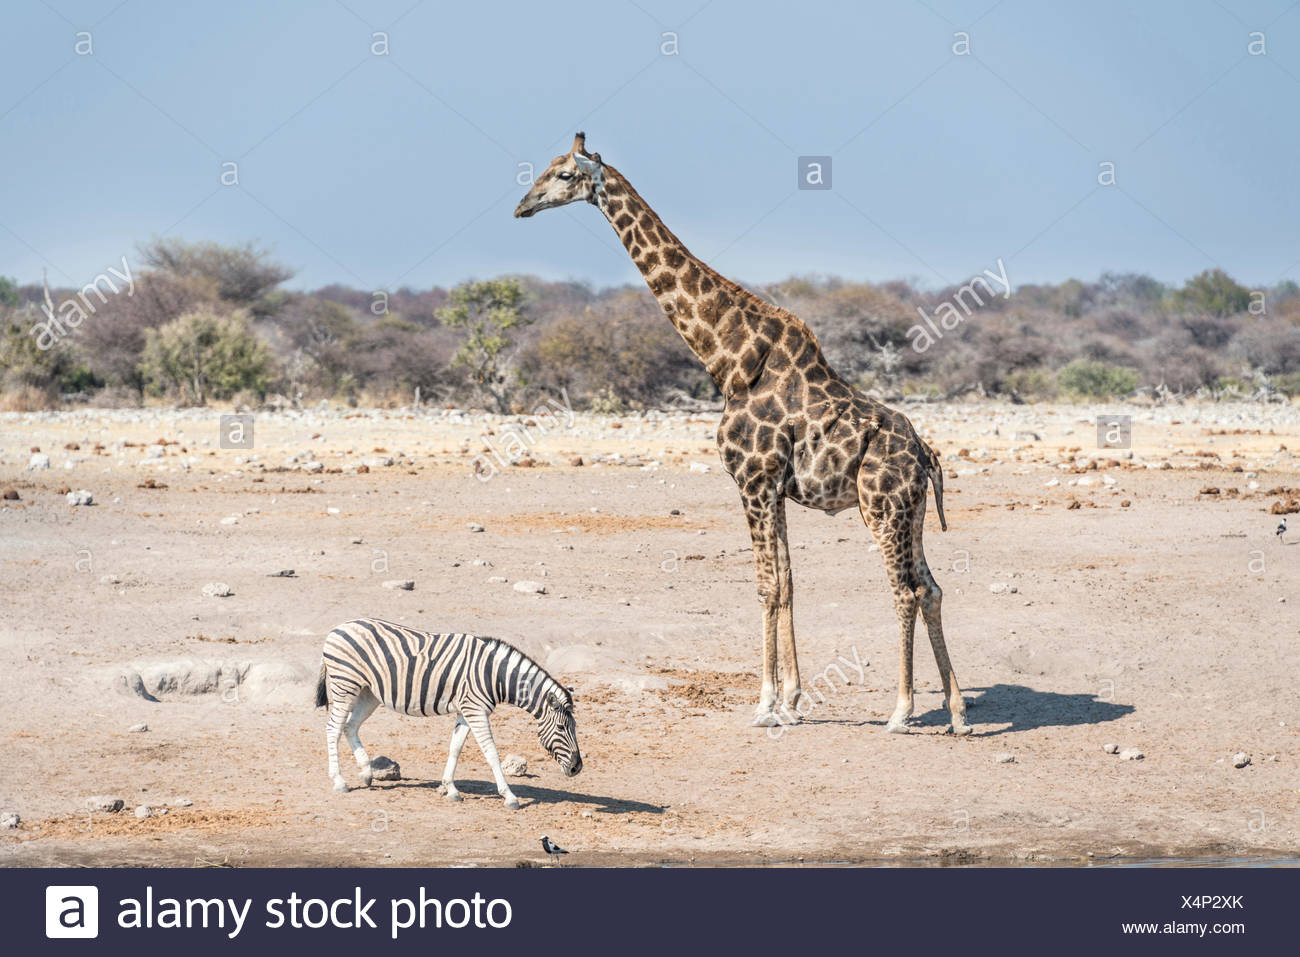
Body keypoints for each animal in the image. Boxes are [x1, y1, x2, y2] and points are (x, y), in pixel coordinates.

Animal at [316, 617, 582, 809]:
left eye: (575, 728)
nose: (577, 768)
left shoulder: (466, 711)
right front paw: (509, 796)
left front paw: (451, 789)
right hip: (345, 685)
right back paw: (339, 781)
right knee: (333, 728)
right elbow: (491, 753)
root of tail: (337, 628)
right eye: (561, 728)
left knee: (350, 726)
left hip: (369, 692)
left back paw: (366, 774)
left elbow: (455, 748)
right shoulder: (476, 710)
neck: (494, 675)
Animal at [514, 133, 971, 735]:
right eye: (544, 168)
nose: (522, 207)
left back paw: (901, 711)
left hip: (882, 505)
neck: (726, 359)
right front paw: (793, 701)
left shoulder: (751, 480)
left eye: (564, 175)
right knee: (933, 587)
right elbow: (788, 581)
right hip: (912, 510)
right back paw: (958, 710)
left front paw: (765, 705)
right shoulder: (774, 488)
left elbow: (765, 585)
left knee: (905, 590)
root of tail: (926, 454)